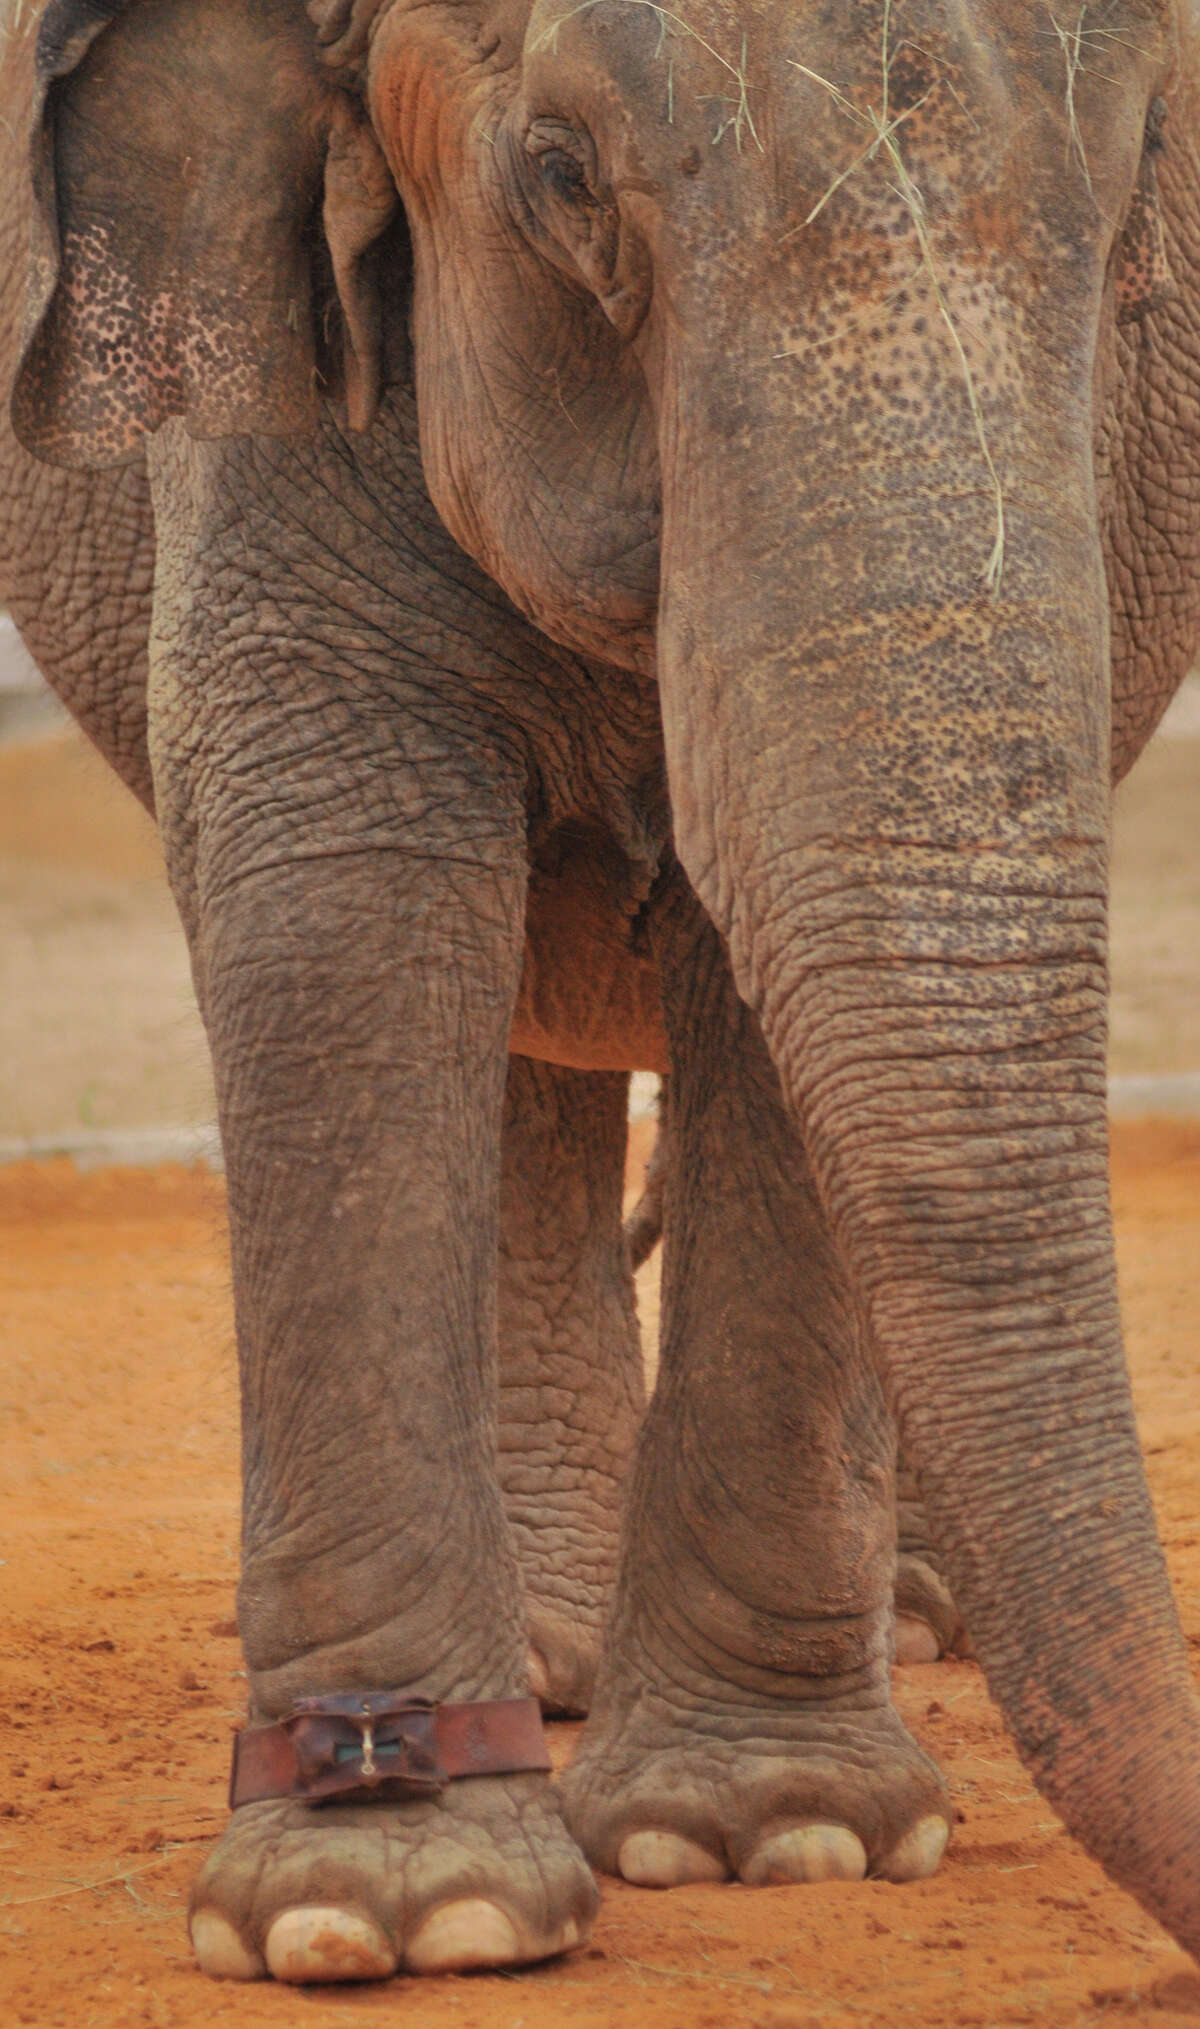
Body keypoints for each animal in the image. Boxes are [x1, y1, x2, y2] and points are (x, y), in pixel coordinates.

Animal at [4, 0, 1200, 1992]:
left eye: (1145, 180)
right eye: (561, 178)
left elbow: (761, 952)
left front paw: (769, 1836)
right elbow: (338, 885)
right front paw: (391, 1906)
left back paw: (904, 1625)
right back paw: (554, 1665)